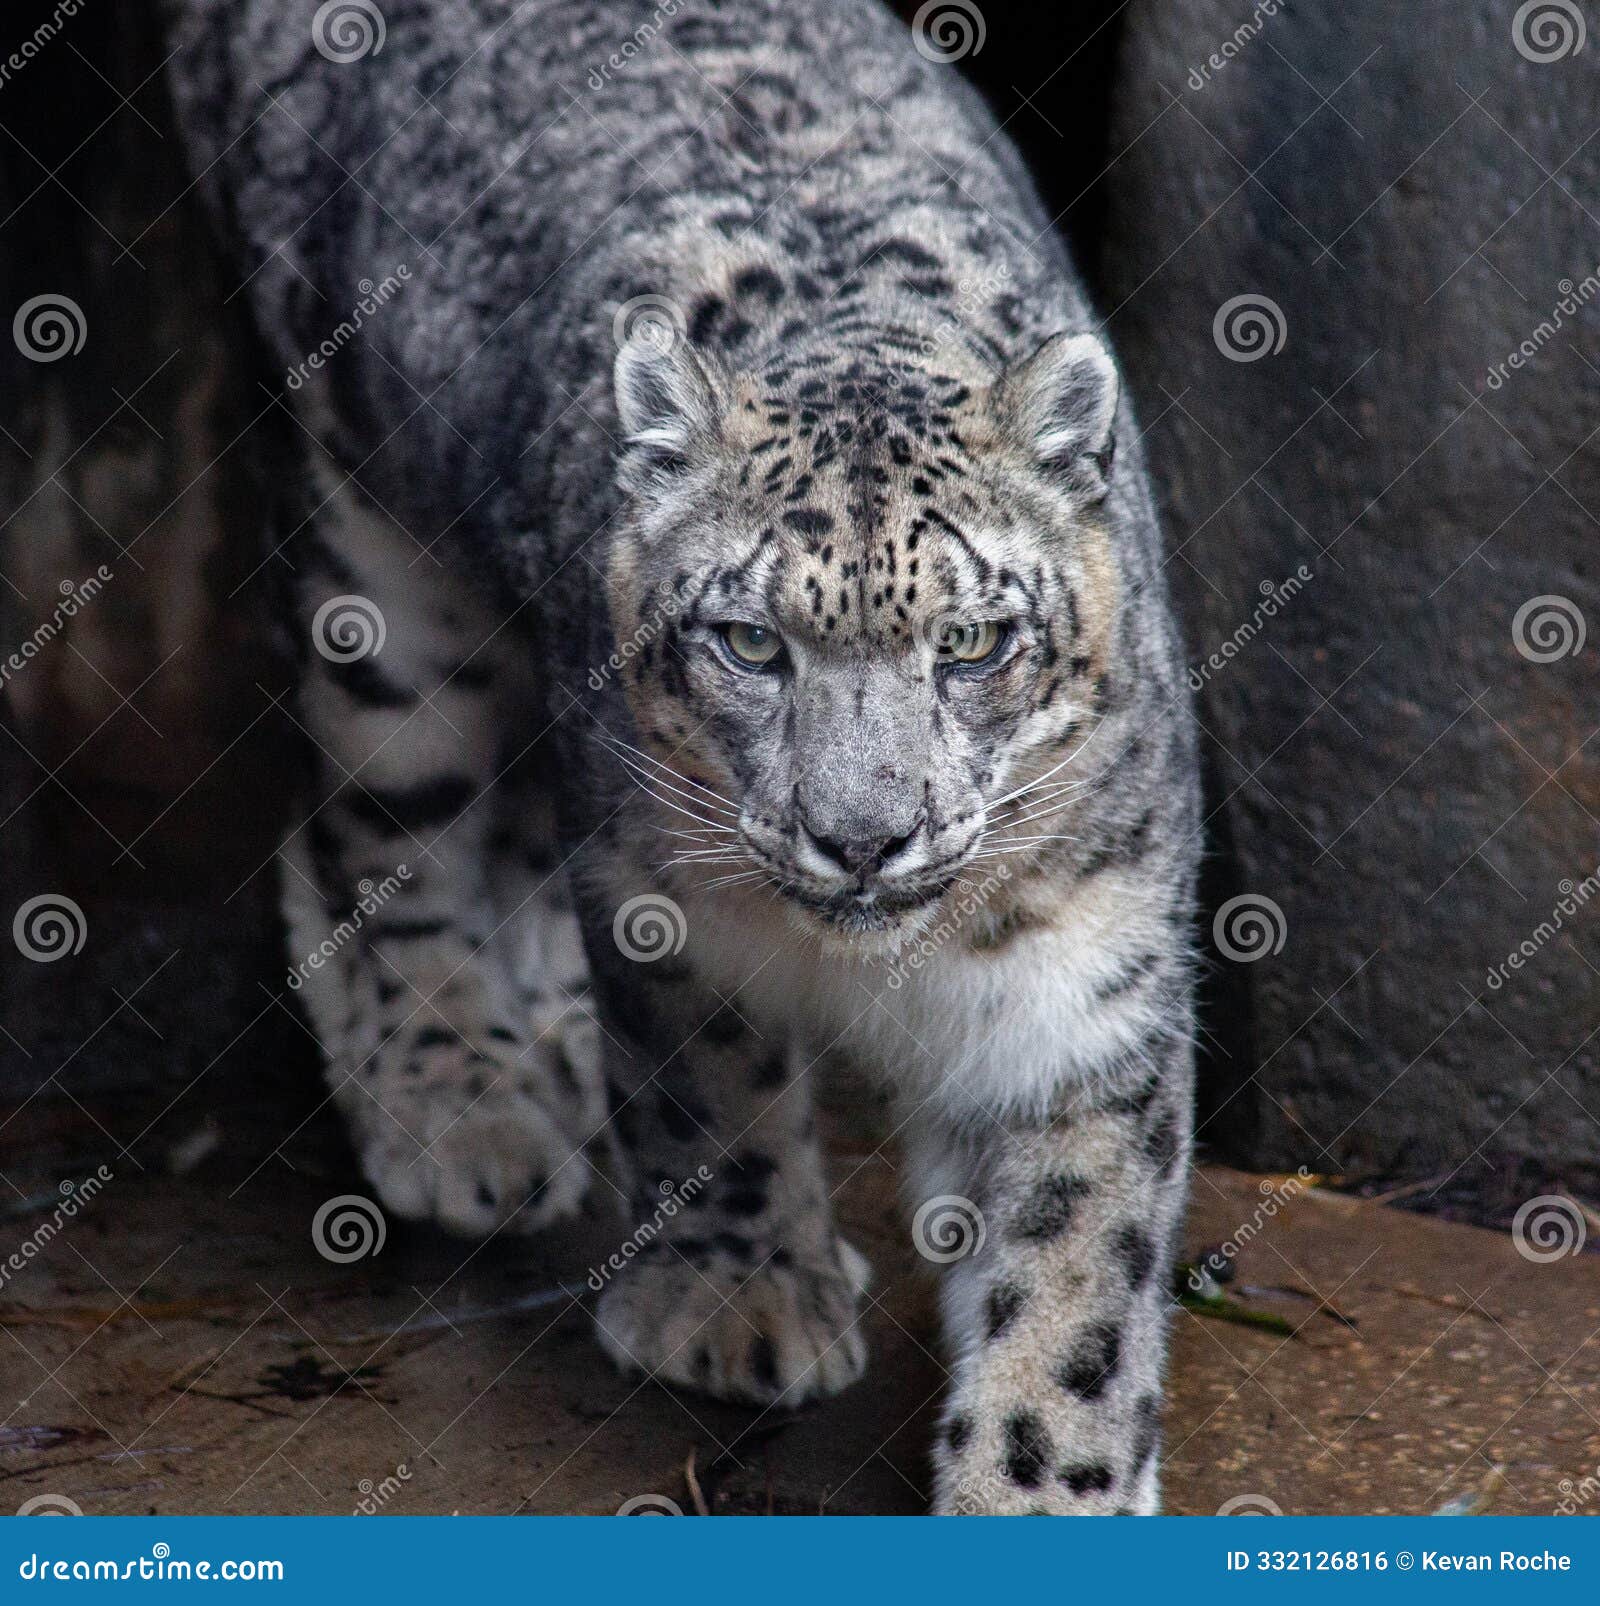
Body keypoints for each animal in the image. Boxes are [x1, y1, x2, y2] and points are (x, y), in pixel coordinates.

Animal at [160, 0, 1200, 1513]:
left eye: (972, 641)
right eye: (751, 642)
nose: (863, 835)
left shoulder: (1087, 972)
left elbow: (1074, 1268)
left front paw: (1039, 1481)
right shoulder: (662, 896)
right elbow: (710, 1089)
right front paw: (739, 1301)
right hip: (381, 567)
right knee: (375, 829)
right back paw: (463, 1108)